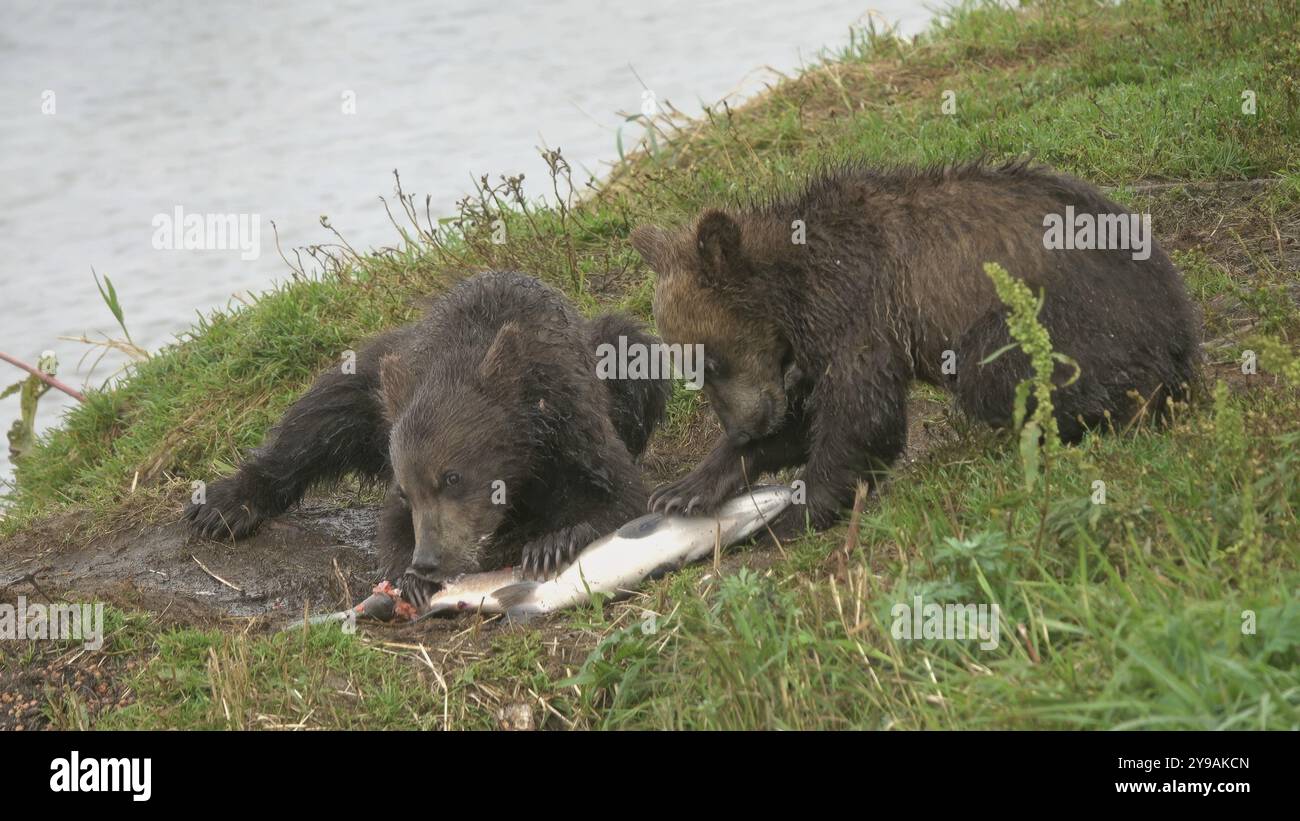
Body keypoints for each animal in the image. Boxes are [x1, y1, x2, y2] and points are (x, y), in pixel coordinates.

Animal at [185, 271, 670, 599]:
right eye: (406, 490)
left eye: (453, 477)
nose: (430, 560)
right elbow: (390, 529)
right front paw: (408, 576)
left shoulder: (570, 423)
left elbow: (621, 493)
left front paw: (555, 542)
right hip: (378, 378)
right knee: (318, 415)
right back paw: (223, 505)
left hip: (614, 356)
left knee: (633, 351)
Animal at [631, 159, 1201, 534]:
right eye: (688, 366)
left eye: (710, 357)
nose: (744, 427)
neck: (790, 293)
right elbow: (808, 416)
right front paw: (685, 488)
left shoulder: (857, 302)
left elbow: (860, 413)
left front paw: (794, 513)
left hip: (1061, 316)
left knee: (1001, 373)